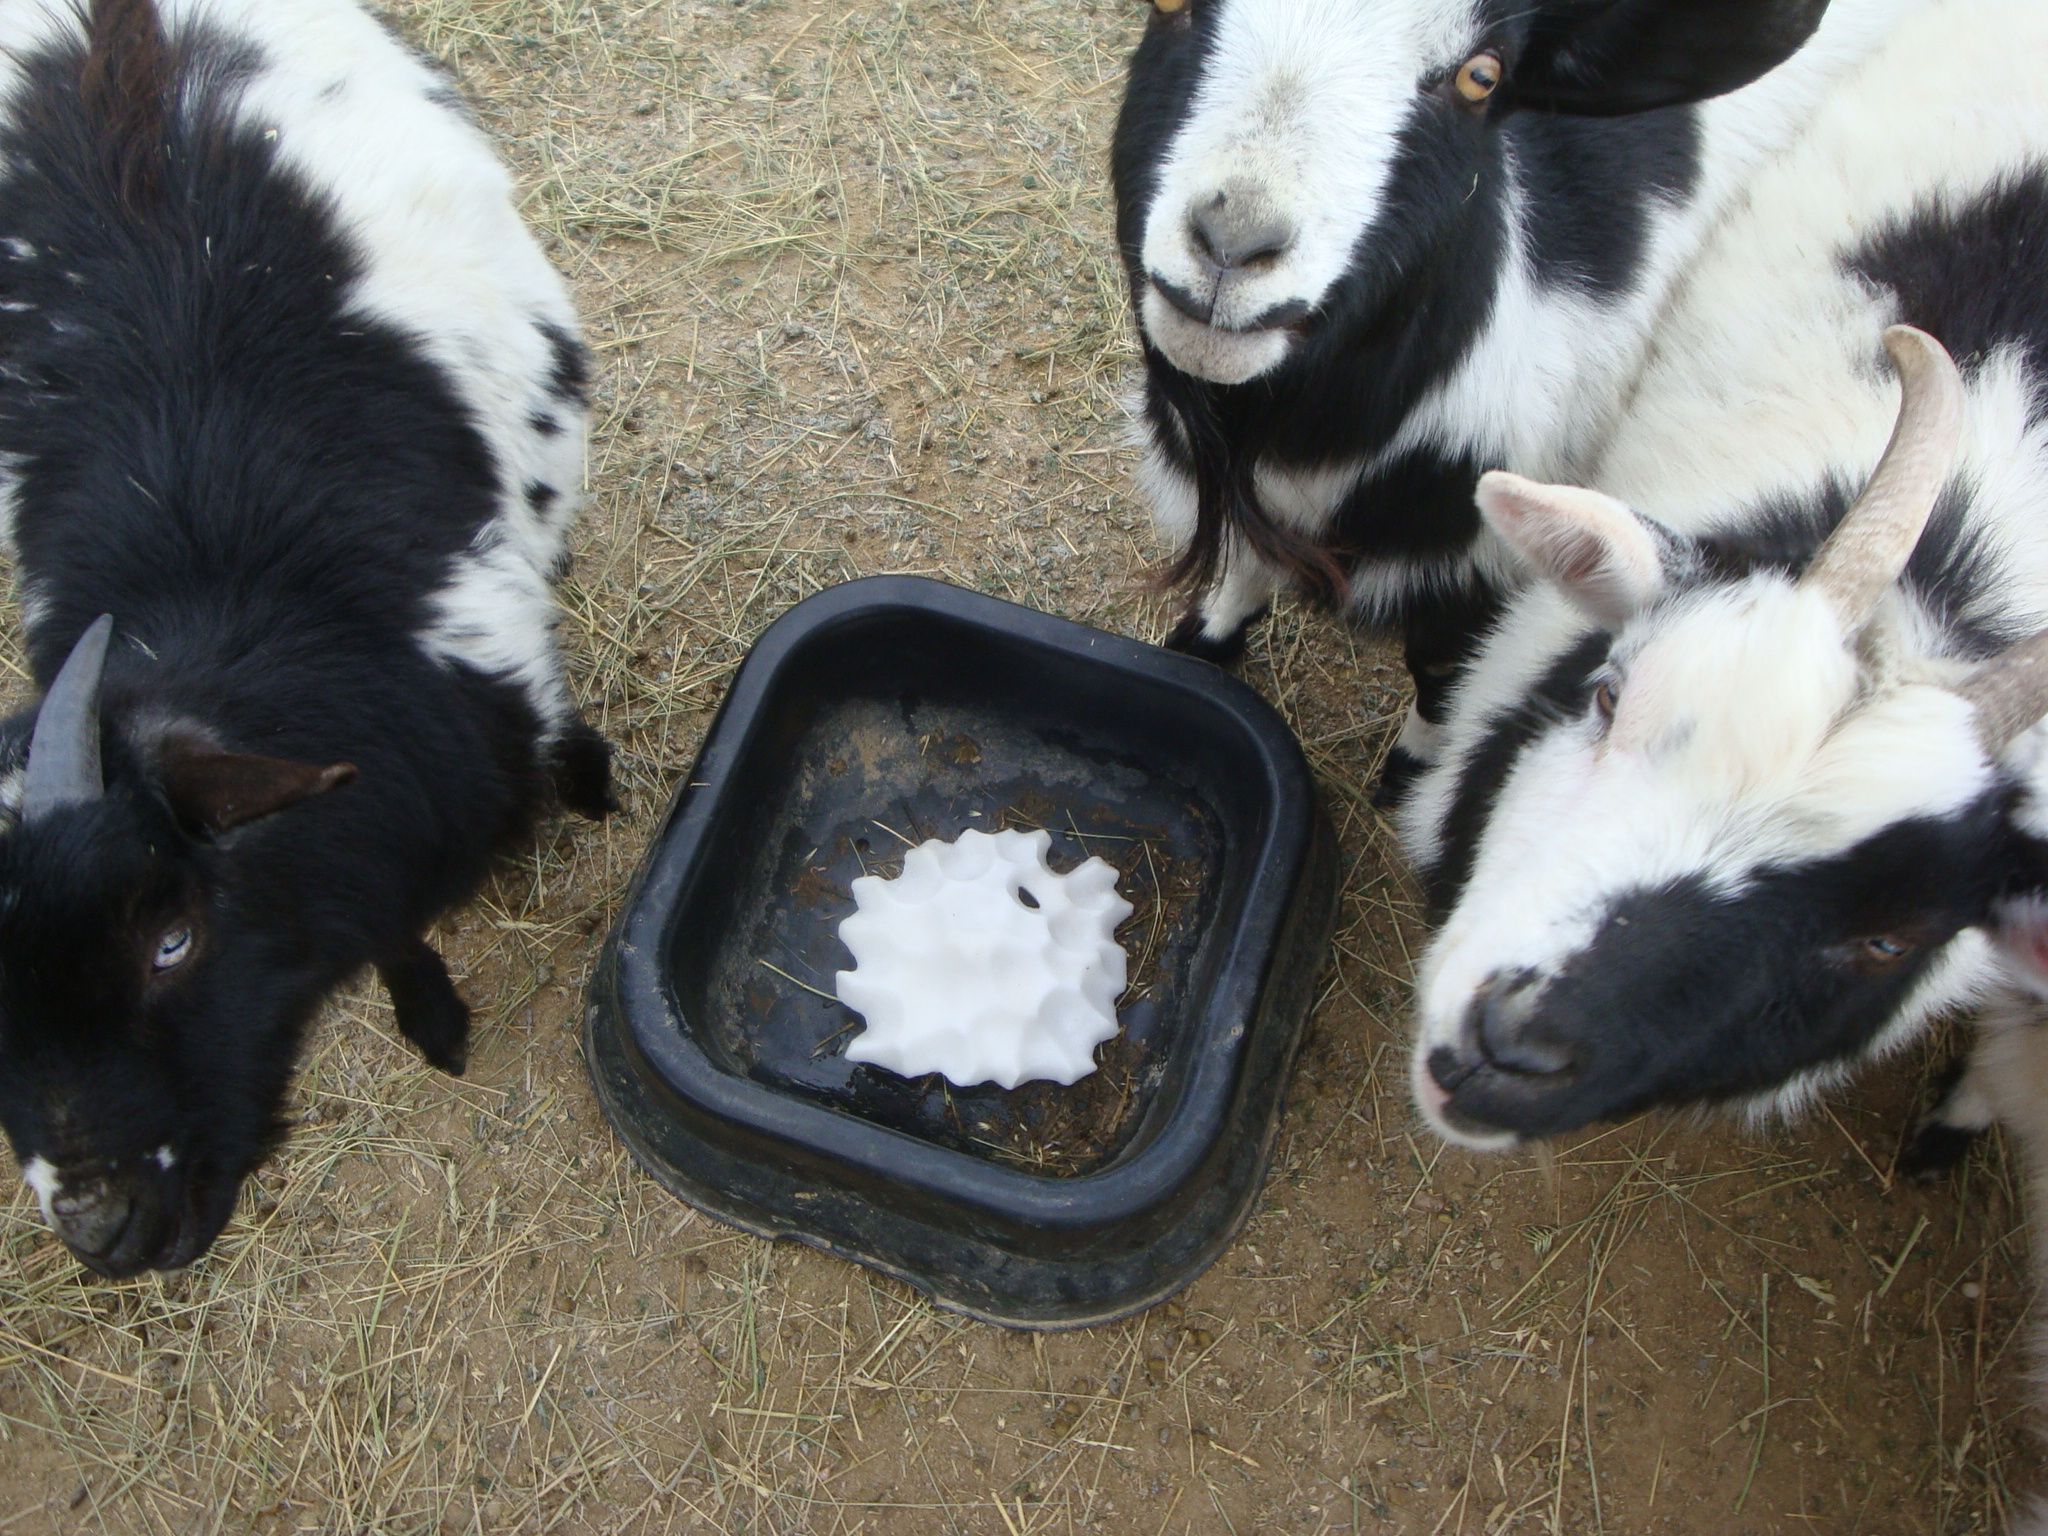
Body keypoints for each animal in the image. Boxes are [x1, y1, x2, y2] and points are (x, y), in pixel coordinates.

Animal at [1111, 0, 1927, 791]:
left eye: (1481, 77)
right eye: (1167, 1)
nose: (1232, 246)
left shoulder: (1500, 561)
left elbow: (1441, 670)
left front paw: (1413, 769)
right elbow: (1243, 558)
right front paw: (1205, 637)